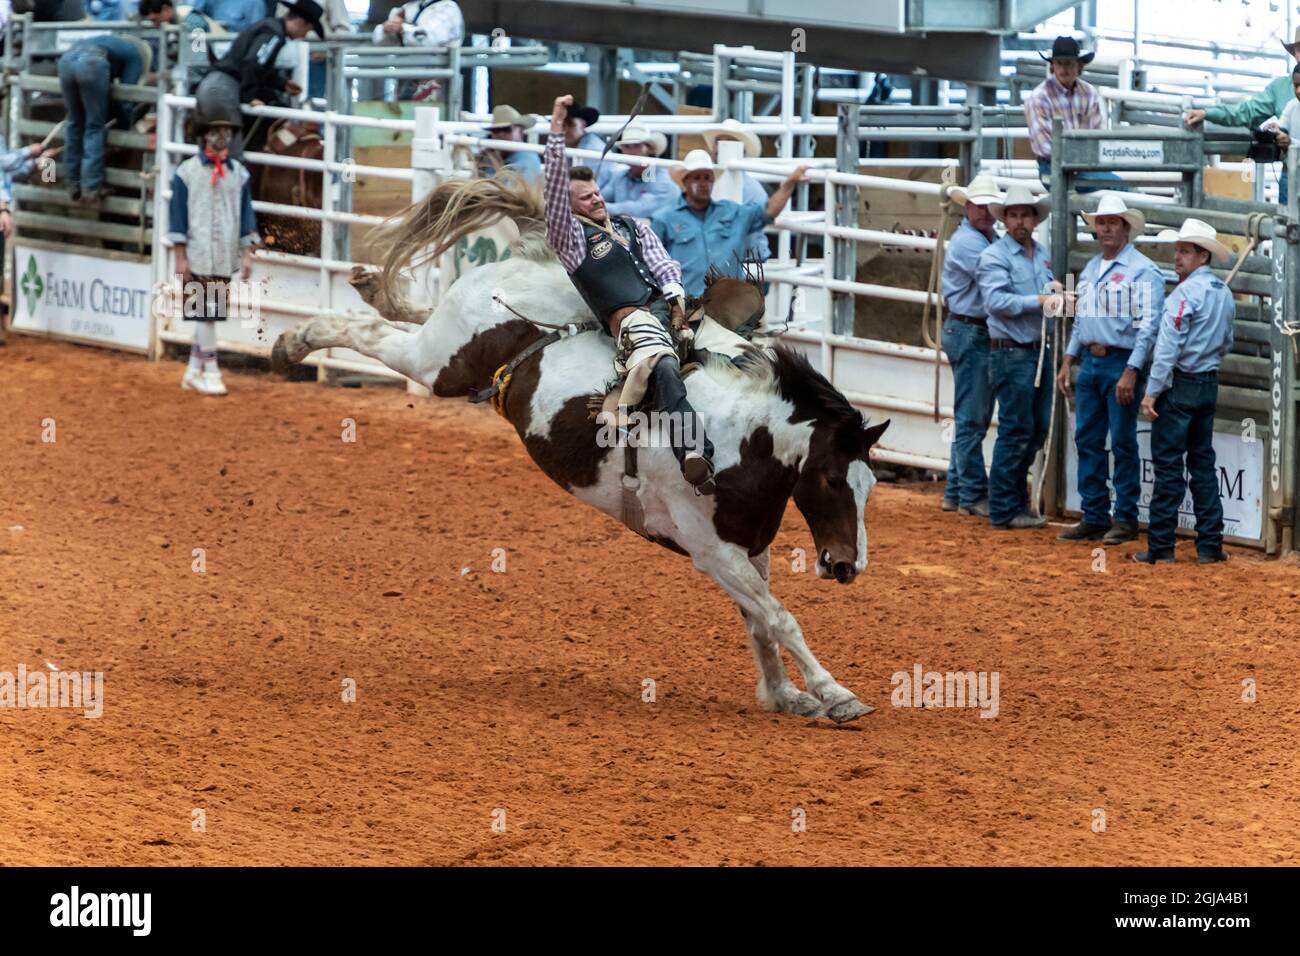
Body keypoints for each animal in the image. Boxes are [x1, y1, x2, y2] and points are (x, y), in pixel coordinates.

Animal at [270, 176, 889, 723]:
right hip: (439, 362)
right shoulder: (711, 550)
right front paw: (835, 694)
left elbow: (759, 620)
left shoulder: (748, 549)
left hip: (448, 349)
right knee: (370, 335)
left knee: (406, 316)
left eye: (870, 485)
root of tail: (536, 257)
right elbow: (780, 618)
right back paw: (292, 342)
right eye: (832, 477)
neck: (740, 439)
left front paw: (785, 695)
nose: (847, 565)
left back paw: (368, 287)